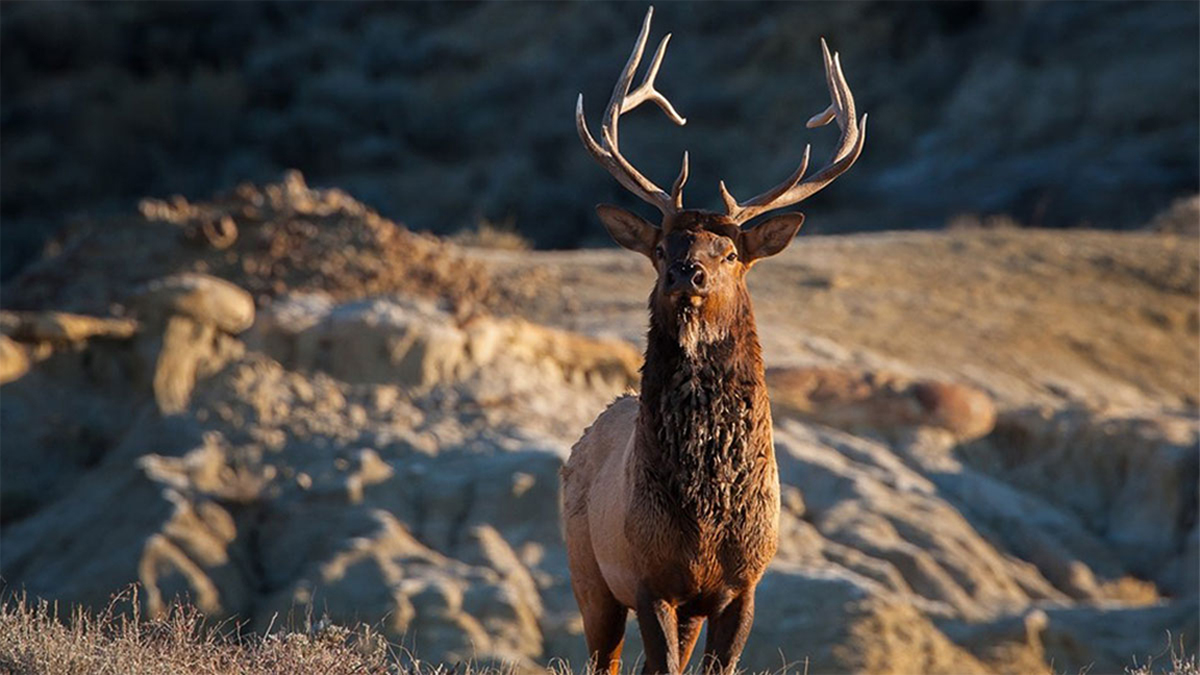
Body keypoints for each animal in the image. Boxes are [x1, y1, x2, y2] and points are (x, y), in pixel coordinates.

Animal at [560, 7, 866, 675]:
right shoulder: (648, 576)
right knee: (604, 656)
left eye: (729, 253)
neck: (705, 517)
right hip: (588, 572)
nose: (686, 273)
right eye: (659, 248)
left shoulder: (743, 583)